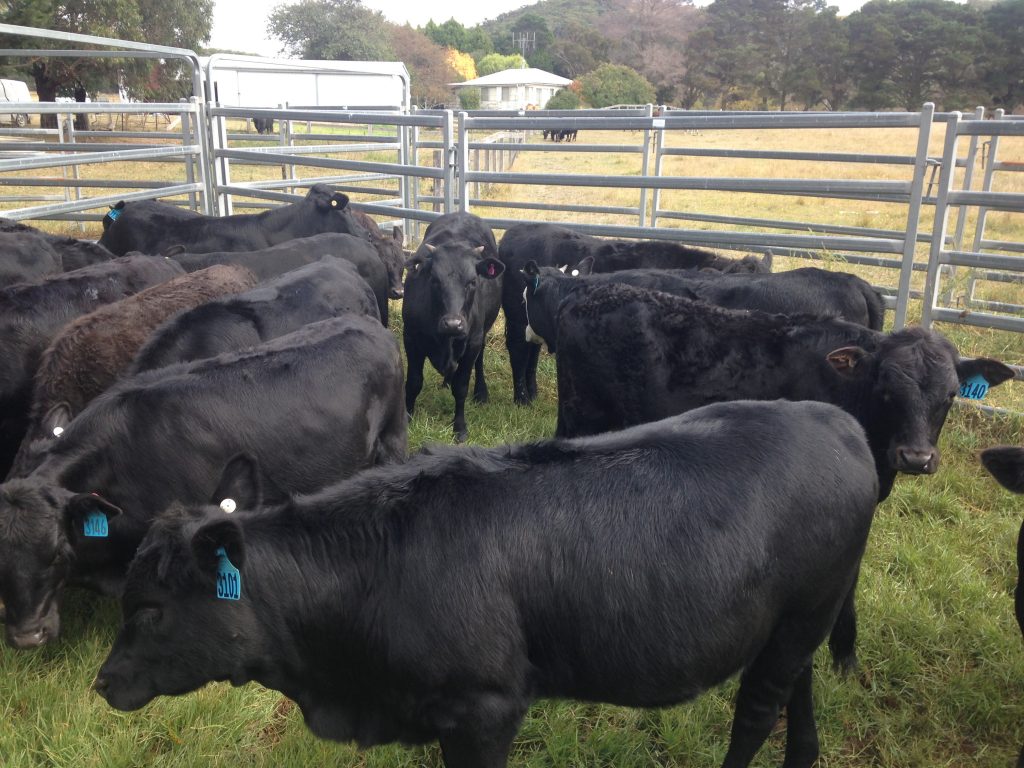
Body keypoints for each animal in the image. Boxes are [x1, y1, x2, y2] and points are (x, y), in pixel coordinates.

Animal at [95, 399, 879, 768]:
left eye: (152, 609)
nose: (103, 683)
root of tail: (830, 416)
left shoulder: (484, 709)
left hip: (800, 617)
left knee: (756, 711)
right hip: (796, 619)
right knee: (796, 689)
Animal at [402, 212, 504, 442]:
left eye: (472, 281)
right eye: (434, 280)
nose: (453, 324)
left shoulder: (472, 342)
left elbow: (461, 387)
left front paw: (459, 427)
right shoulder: (411, 338)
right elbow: (413, 382)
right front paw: (407, 417)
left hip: (481, 336)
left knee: (479, 362)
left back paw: (481, 392)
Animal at [498, 222, 770, 405]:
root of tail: (514, 230)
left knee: (531, 351)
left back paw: (533, 394)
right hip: (516, 316)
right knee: (518, 350)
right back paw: (521, 398)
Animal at [551, 282, 1014, 670]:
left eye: (950, 394)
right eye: (886, 387)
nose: (916, 457)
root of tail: (587, 296)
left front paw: (844, 656)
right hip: (582, 415)